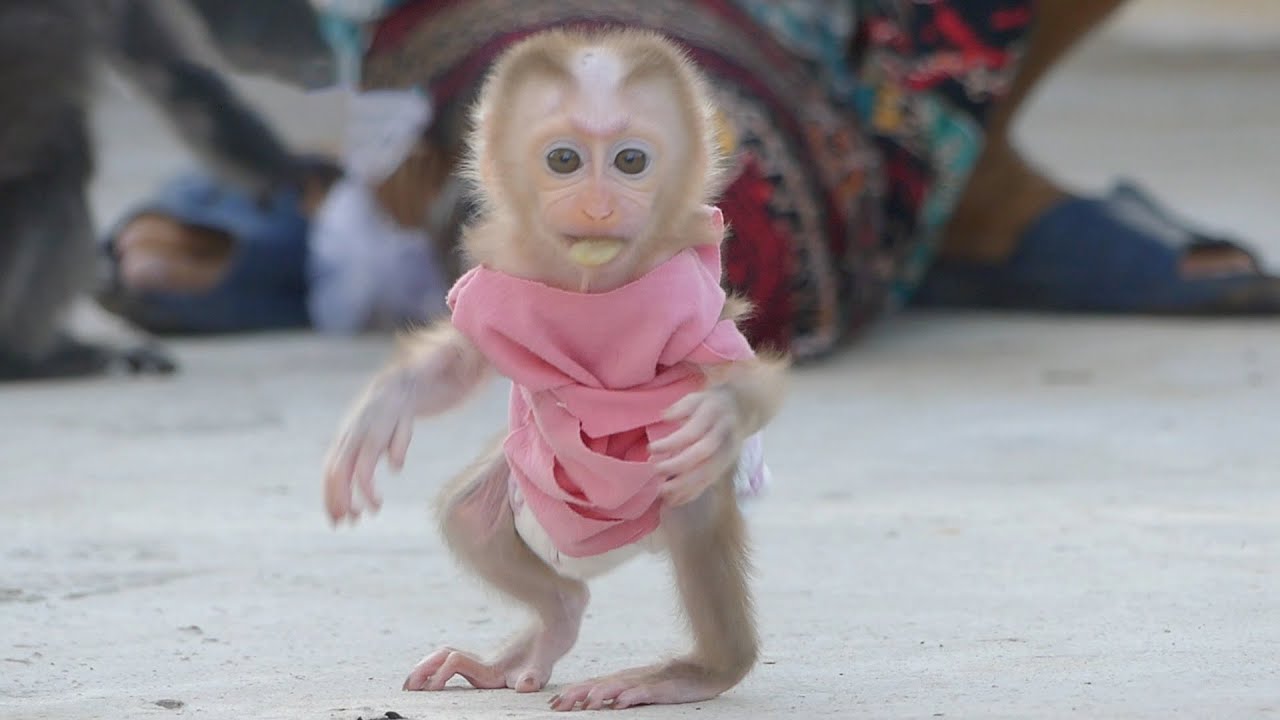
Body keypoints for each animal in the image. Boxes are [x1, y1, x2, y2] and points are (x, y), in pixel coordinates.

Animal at [322, 28, 789, 711]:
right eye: (564, 161)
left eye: (630, 162)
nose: (597, 209)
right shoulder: (500, 280)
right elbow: (462, 361)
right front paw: (382, 412)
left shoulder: (689, 294)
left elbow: (739, 376)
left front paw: (719, 412)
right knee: (472, 514)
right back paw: (549, 622)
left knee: (693, 498)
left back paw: (700, 670)